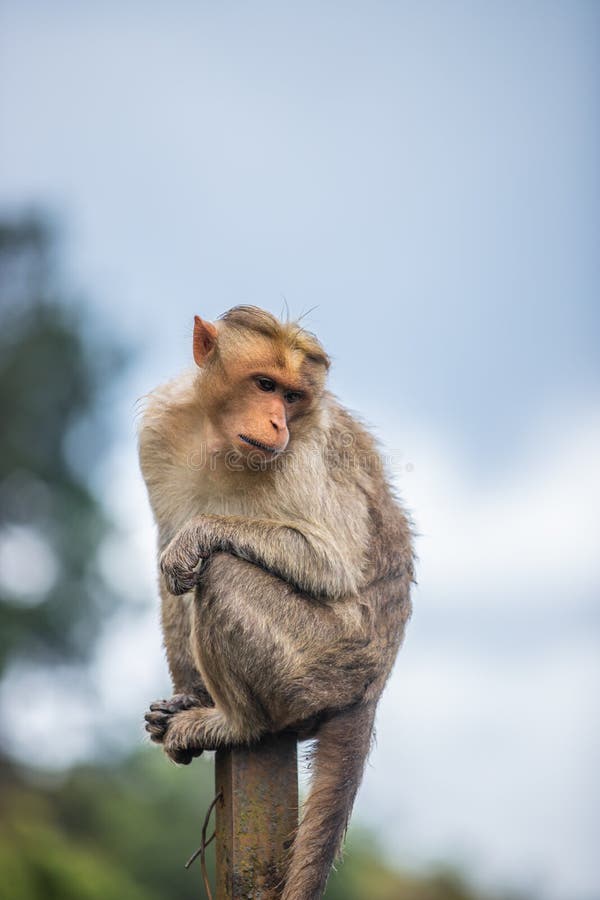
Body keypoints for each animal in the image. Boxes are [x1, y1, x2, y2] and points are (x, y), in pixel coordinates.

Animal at [139, 306, 414, 900]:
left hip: (321, 664)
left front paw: (198, 535)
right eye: (265, 385)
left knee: (224, 570)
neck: (220, 438)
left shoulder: (306, 452)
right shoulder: (159, 428)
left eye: (292, 397)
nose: (277, 424)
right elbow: (166, 548)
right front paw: (184, 695)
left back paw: (236, 724)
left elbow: (331, 562)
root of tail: (373, 685)